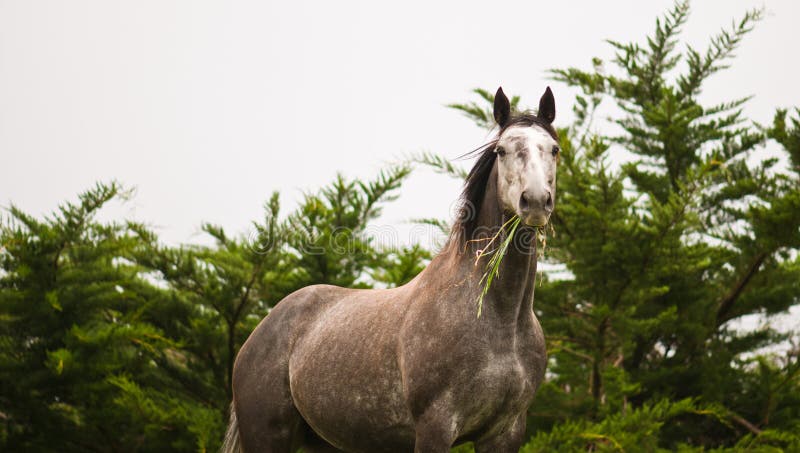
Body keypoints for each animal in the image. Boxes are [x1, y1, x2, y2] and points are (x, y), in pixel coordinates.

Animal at [222, 86, 559, 453]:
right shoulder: (435, 427)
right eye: (501, 150)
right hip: (268, 437)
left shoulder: (504, 432)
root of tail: (258, 334)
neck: (499, 319)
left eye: (554, 149)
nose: (536, 201)